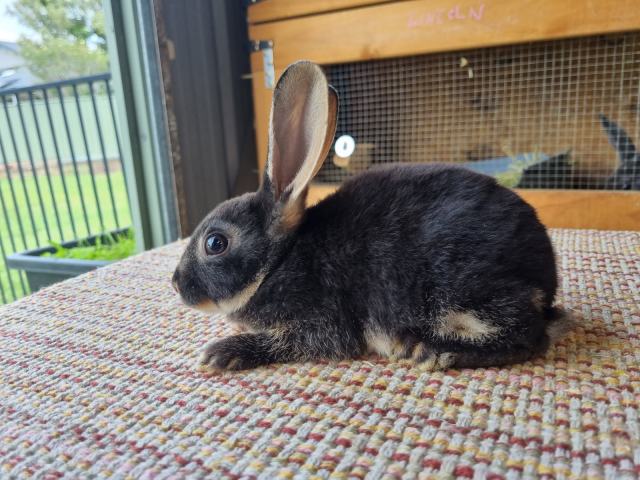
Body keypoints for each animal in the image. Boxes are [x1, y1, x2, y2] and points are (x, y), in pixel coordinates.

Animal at [172, 61, 572, 373]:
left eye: (215, 243)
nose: (175, 283)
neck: (279, 262)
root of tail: (544, 275)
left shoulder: (323, 322)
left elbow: (292, 342)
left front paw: (221, 354)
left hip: (458, 286)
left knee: (528, 336)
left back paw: (429, 349)